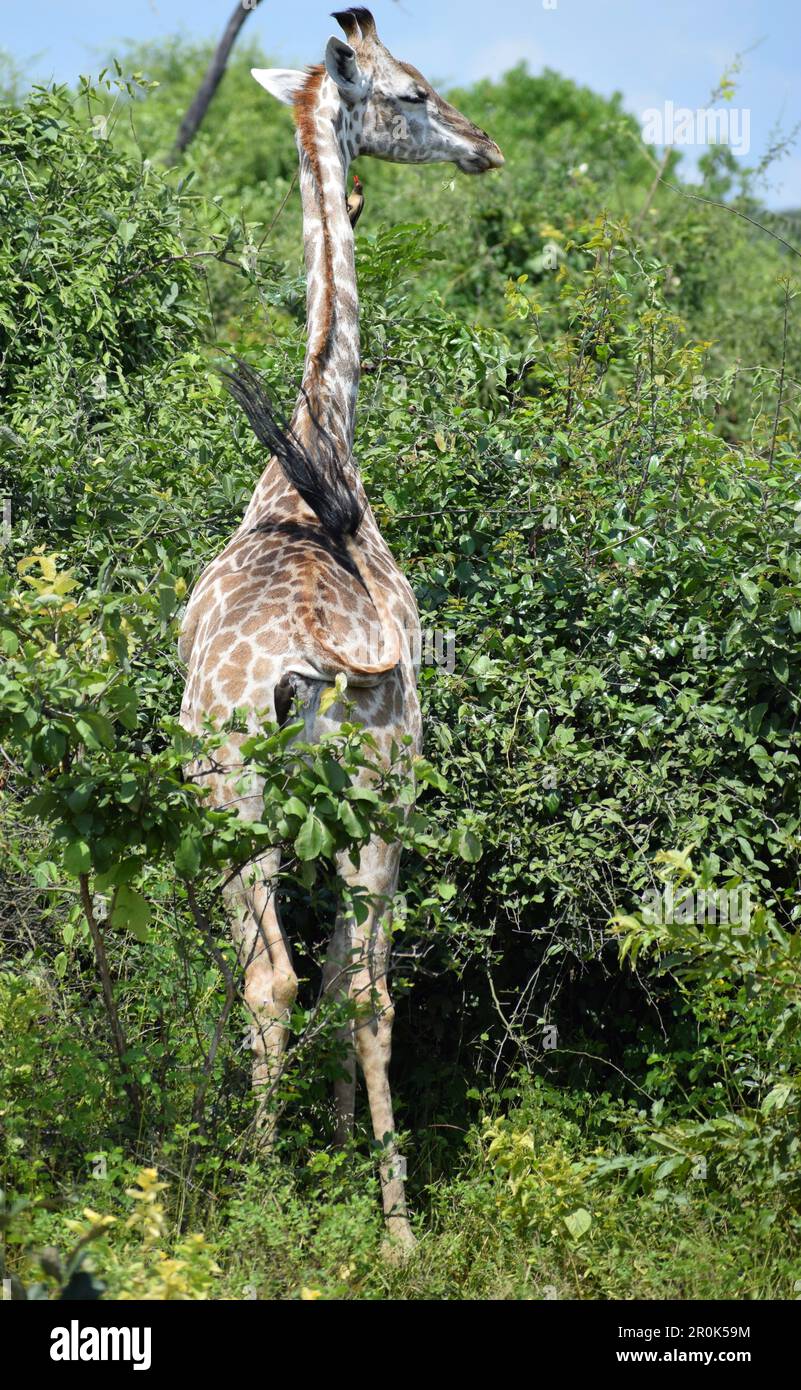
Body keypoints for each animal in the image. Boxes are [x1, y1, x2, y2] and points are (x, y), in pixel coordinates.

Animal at [178, 6, 503, 1246]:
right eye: (412, 91)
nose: (483, 145)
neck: (316, 442)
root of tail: (310, 660)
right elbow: (333, 974)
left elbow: (312, 974)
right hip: (368, 787)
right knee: (343, 981)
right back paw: (365, 1214)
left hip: (254, 795)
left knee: (294, 978)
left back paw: (298, 1200)